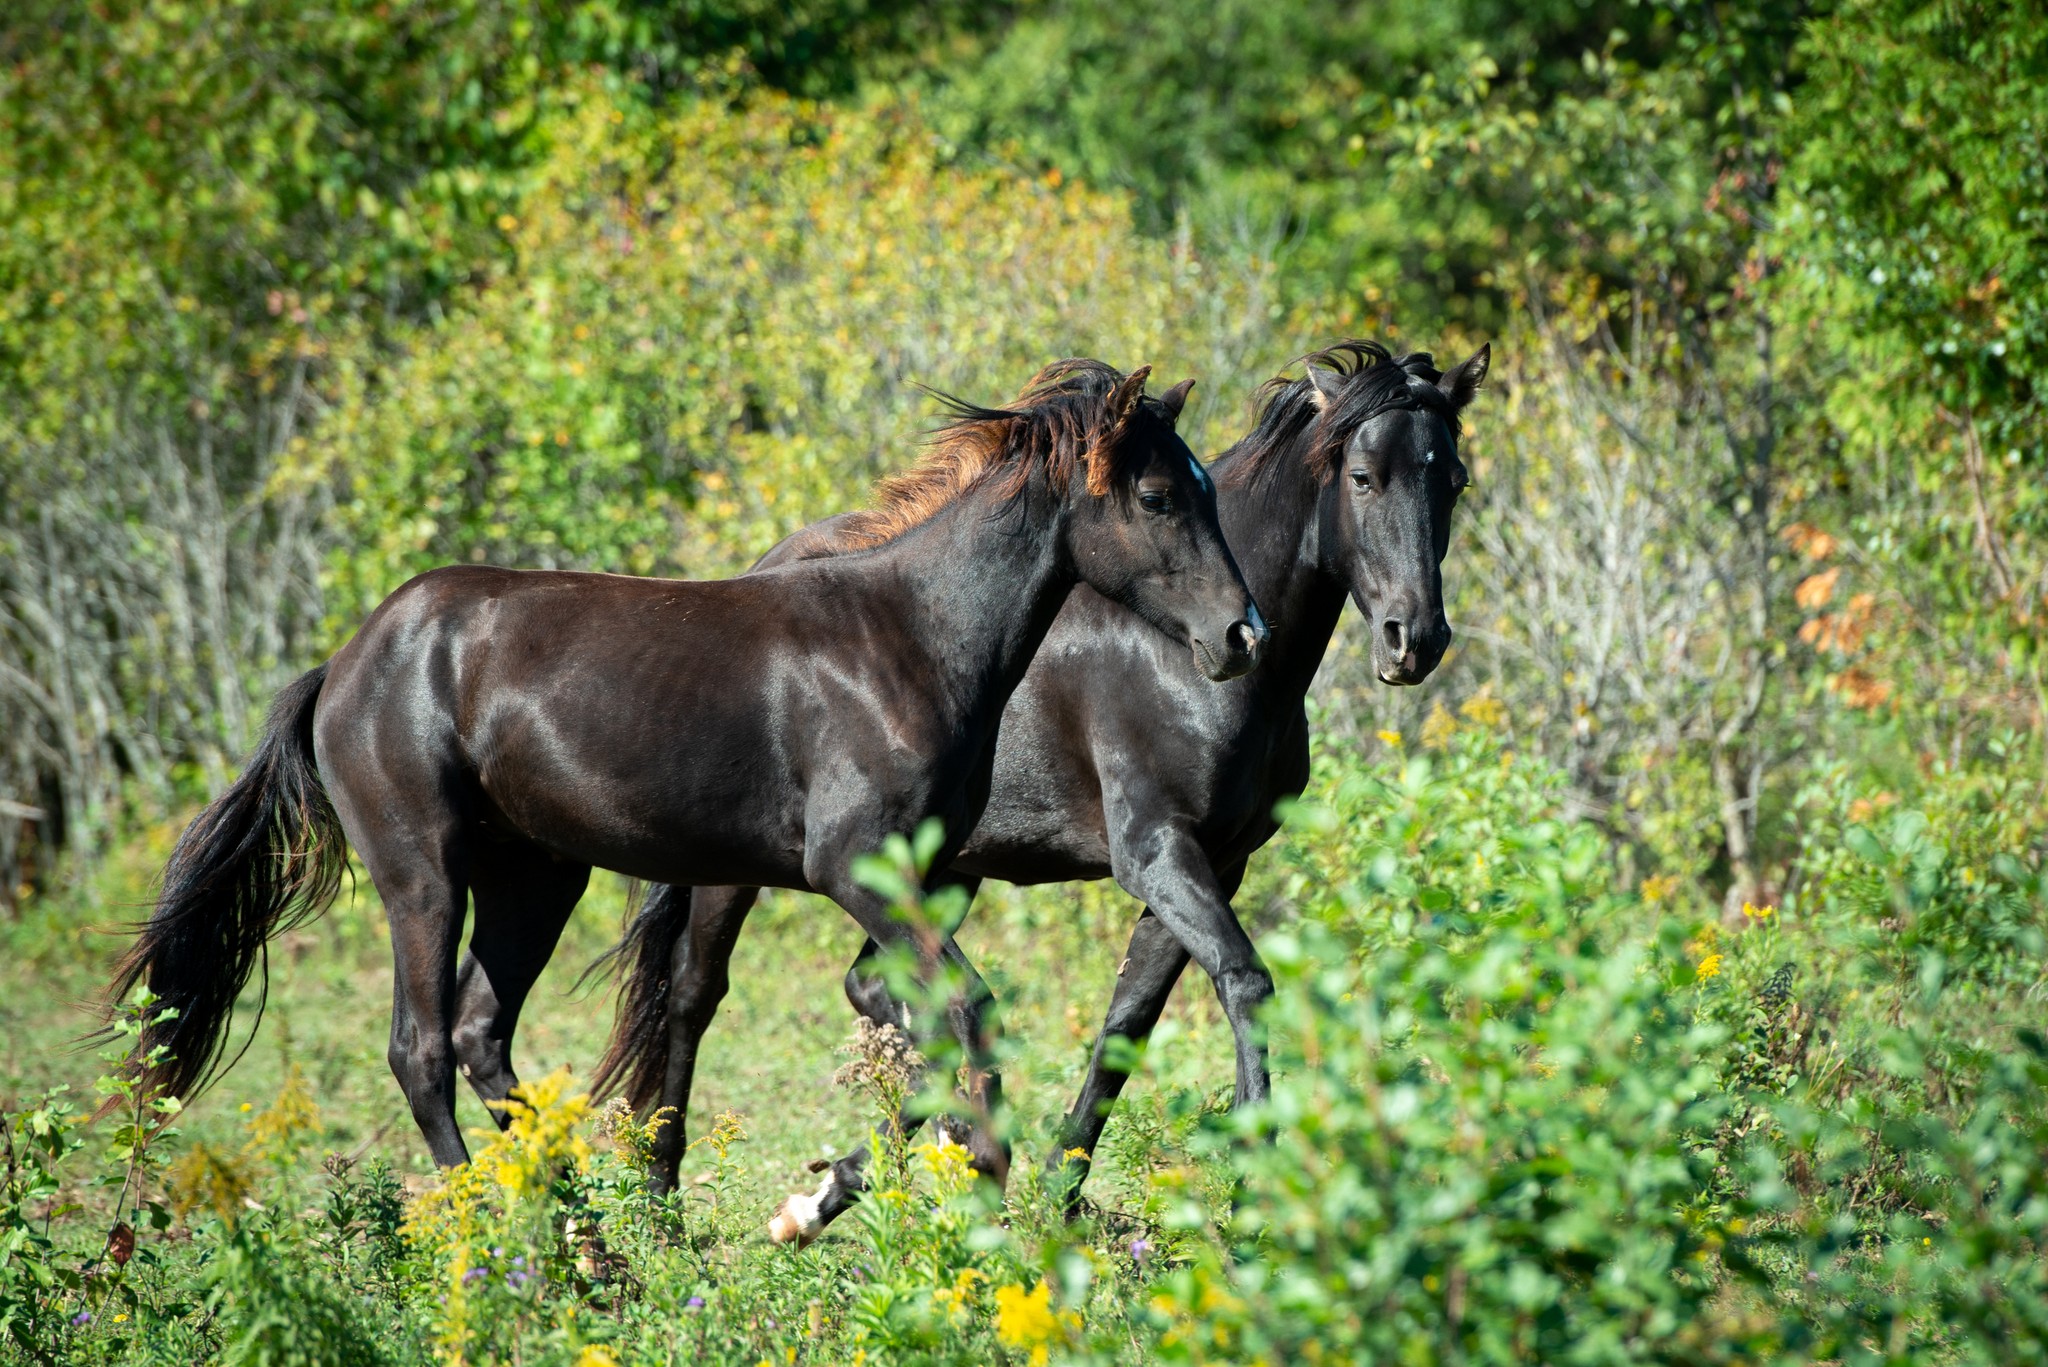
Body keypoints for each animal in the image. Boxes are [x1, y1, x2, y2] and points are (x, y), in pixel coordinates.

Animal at [109, 359, 1268, 1182]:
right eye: (1157, 494)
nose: (1240, 635)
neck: (905, 638)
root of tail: (343, 665)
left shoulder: (931, 876)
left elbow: (929, 1008)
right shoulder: (855, 868)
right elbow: (960, 1006)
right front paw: (976, 1162)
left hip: (536, 876)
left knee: (484, 1029)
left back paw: (586, 1241)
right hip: (422, 872)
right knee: (420, 1048)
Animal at [588, 340, 1488, 1243]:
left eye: (1453, 479)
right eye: (1363, 476)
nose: (1415, 639)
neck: (1180, 660)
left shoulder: (1214, 863)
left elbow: (1128, 1020)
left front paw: (1059, 1185)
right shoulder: (1158, 851)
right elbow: (1244, 983)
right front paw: (1255, 1193)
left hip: (943, 871)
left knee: (873, 987)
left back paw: (860, 1177)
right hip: (741, 871)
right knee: (695, 994)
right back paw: (669, 1195)